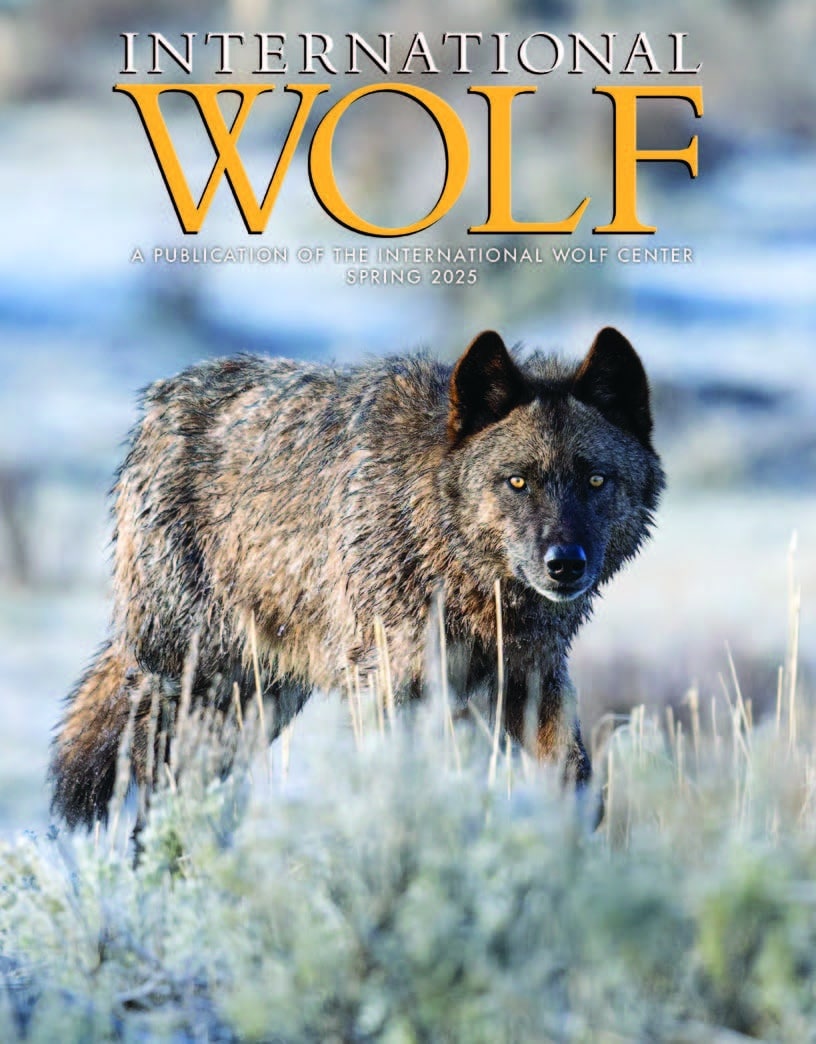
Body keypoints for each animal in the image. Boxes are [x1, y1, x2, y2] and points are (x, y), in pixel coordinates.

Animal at [50, 326, 664, 827]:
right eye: (518, 482)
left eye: (595, 480)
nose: (565, 563)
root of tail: (157, 403)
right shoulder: (389, 690)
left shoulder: (532, 679)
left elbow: (578, 786)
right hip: (197, 691)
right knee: (155, 801)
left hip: (264, 702)